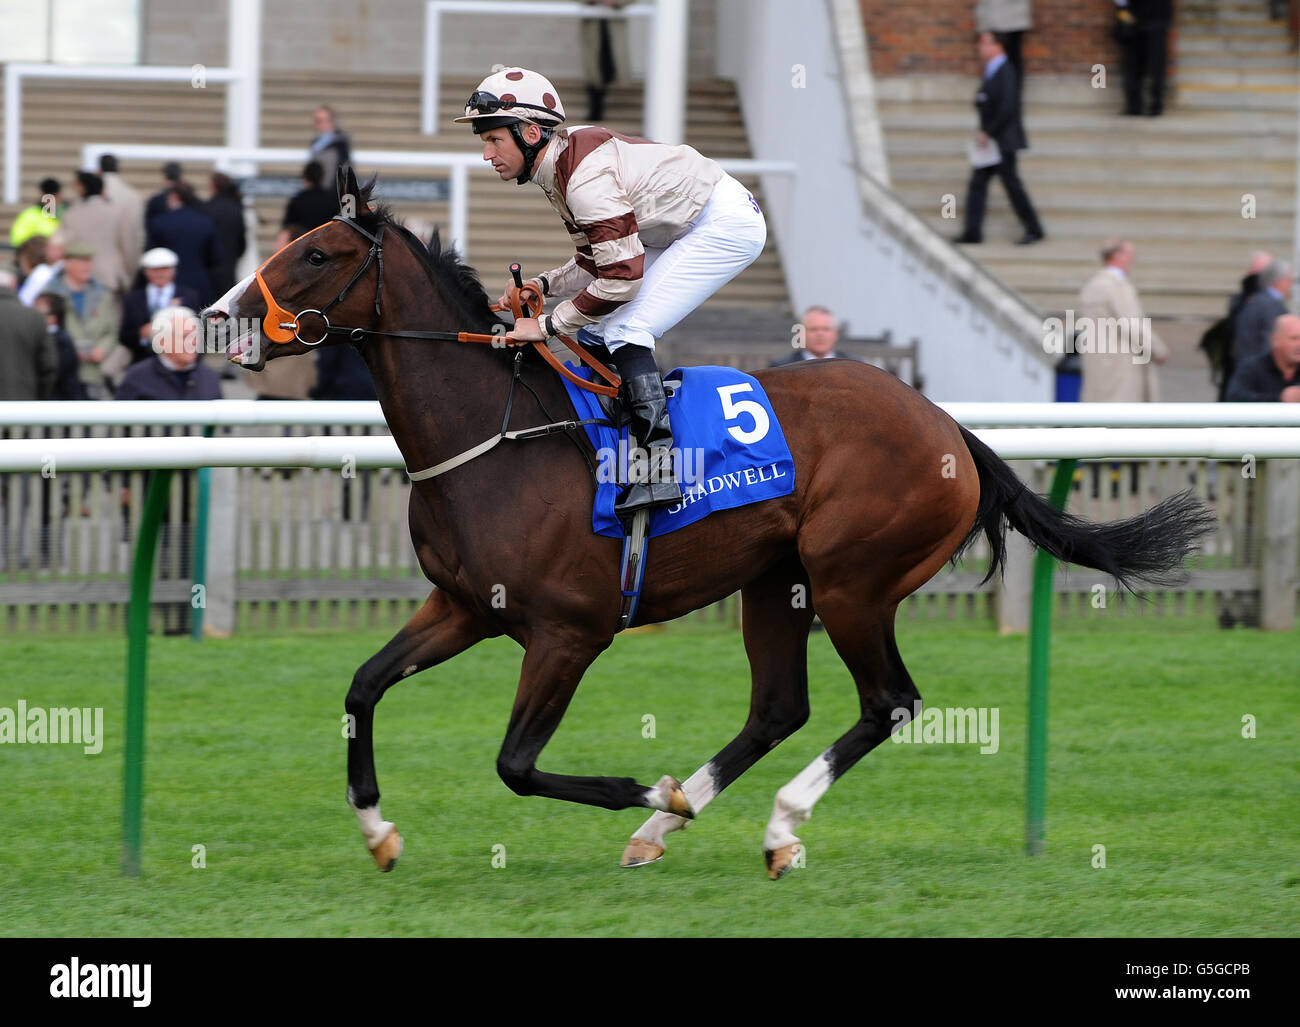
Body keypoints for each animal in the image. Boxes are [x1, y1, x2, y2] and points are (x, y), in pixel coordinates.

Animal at [203, 169, 1215, 879]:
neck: (496, 433)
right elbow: (362, 688)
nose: (215, 318)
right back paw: (667, 824)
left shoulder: (570, 631)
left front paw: (641, 786)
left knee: (887, 701)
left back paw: (768, 824)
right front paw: (378, 830)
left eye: (317, 255)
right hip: (778, 578)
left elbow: (516, 762)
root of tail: (945, 426)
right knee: (778, 706)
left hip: (852, 578)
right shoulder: (461, 606)